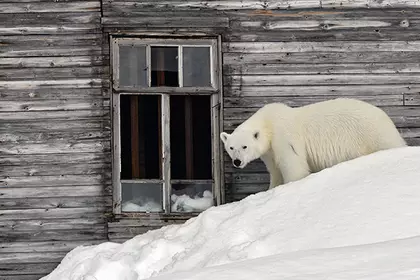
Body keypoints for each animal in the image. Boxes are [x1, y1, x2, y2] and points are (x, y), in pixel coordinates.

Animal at [220, 98, 406, 188]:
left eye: (244, 146)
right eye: (231, 147)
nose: (237, 162)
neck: (268, 123)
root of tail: (387, 119)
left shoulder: (283, 137)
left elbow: (294, 166)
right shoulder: (269, 152)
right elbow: (275, 171)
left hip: (373, 135)